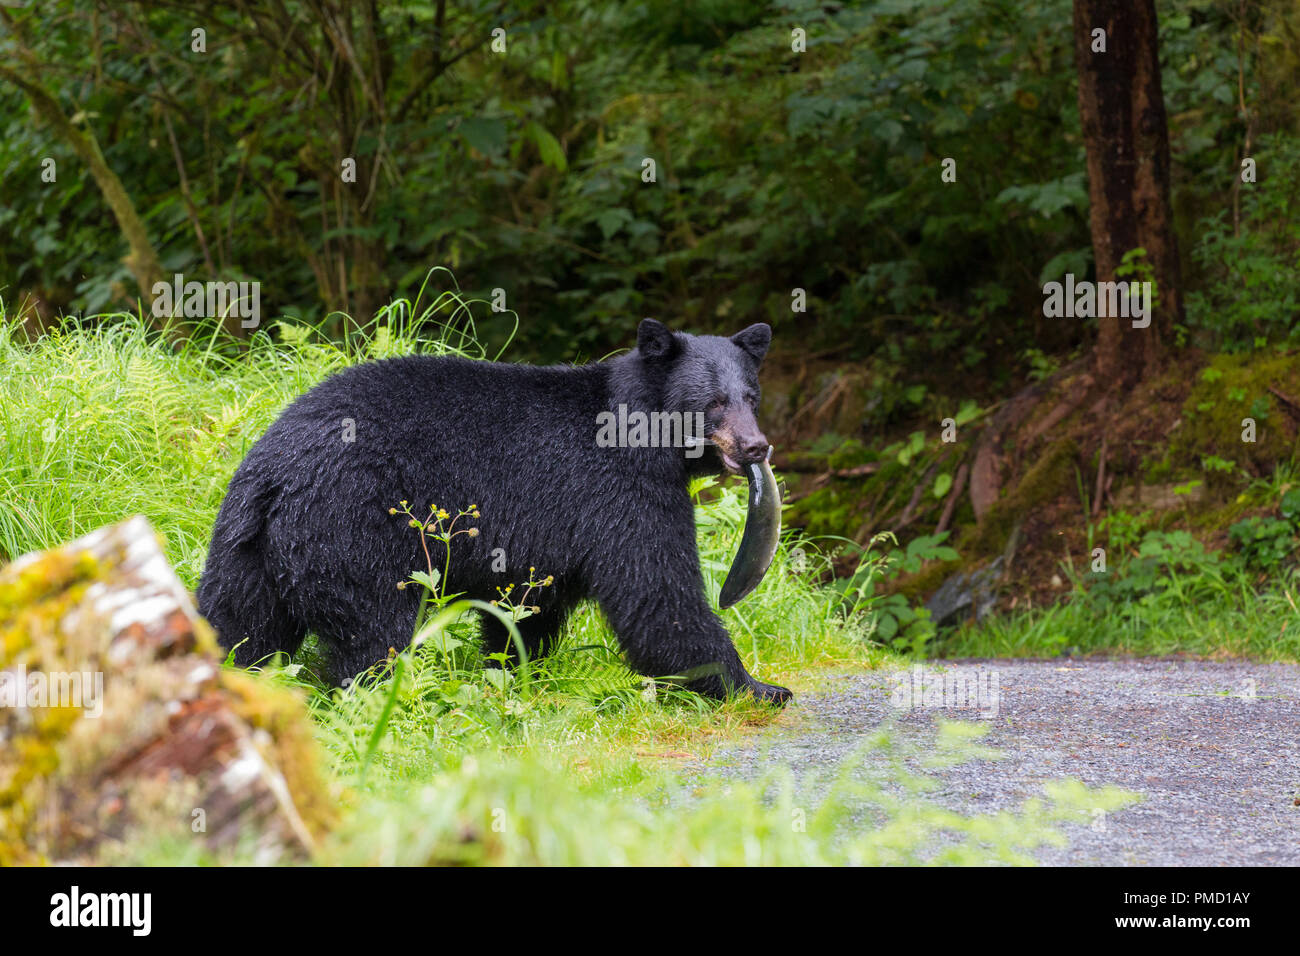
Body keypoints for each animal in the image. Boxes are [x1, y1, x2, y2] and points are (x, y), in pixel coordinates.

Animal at [197, 318, 792, 704]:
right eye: (713, 402)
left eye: (752, 397)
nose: (755, 447)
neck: (639, 426)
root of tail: (276, 472)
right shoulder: (620, 489)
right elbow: (656, 591)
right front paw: (757, 686)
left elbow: (527, 606)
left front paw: (514, 672)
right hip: (352, 531)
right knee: (372, 636)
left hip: (245, 551)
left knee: (239, 626)